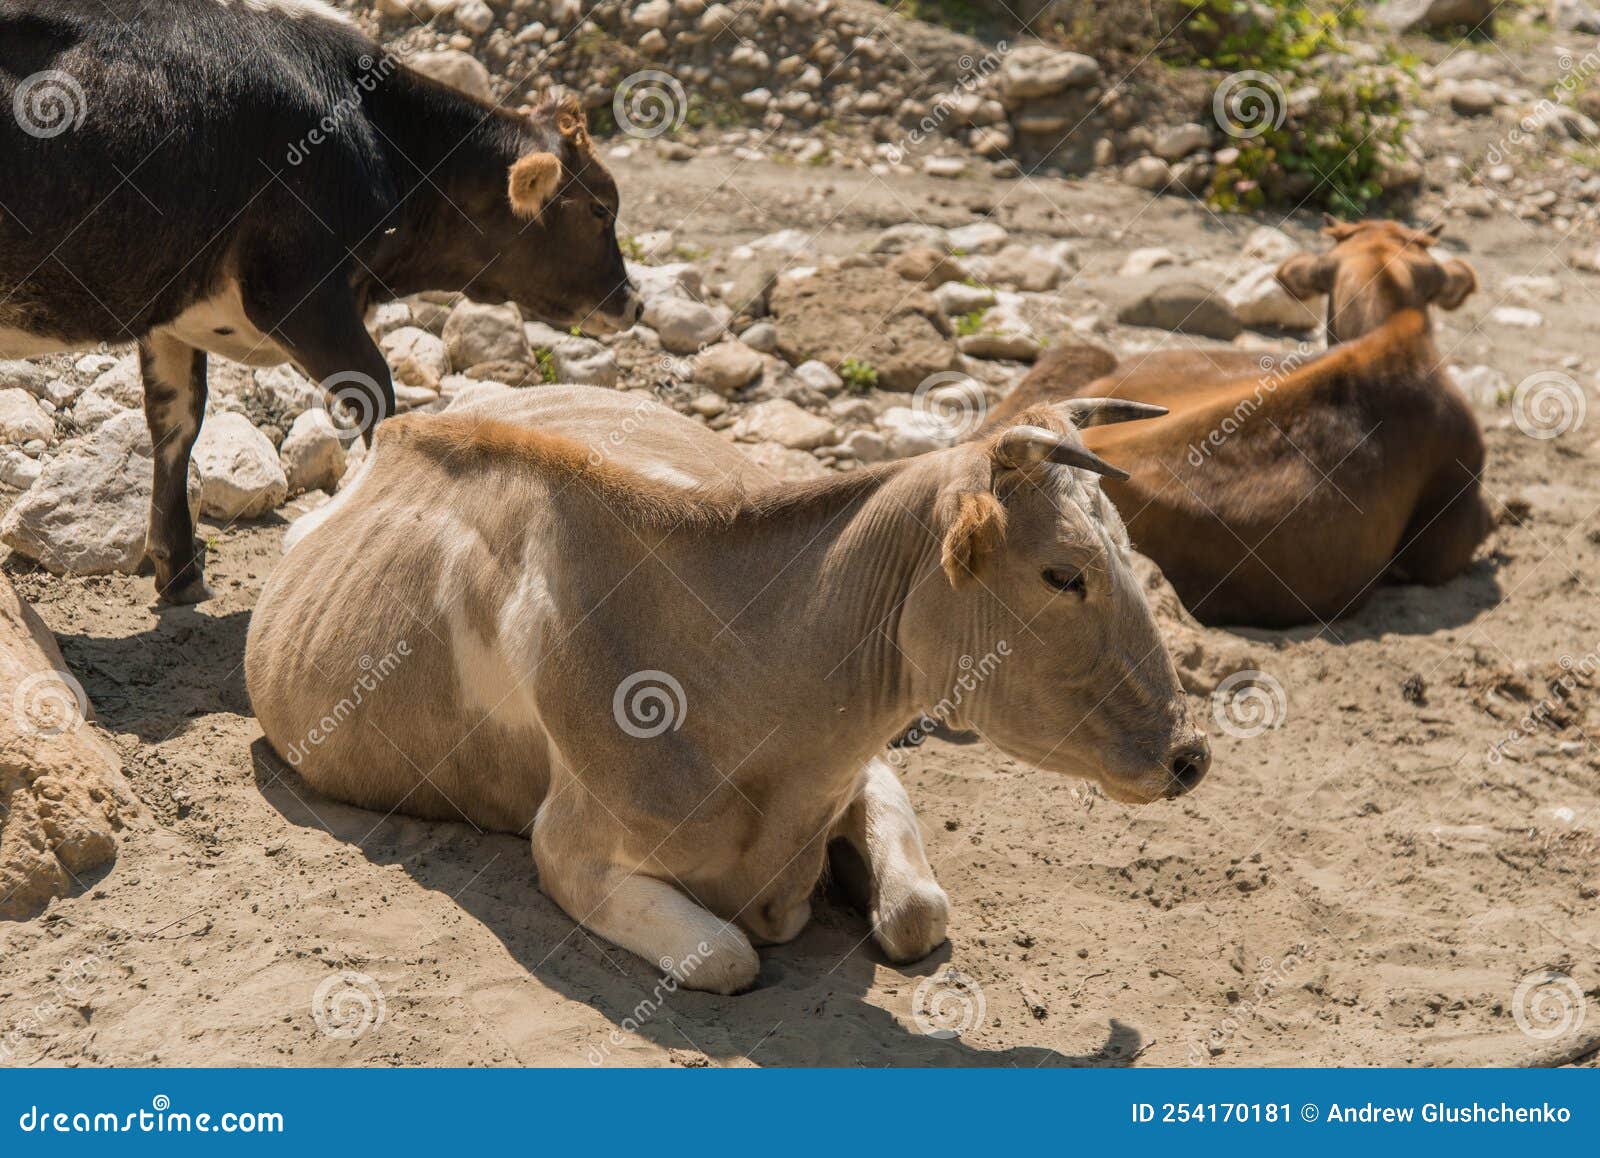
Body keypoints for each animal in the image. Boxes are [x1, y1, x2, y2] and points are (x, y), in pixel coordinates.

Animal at [1, 0, 640, 603]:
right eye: (599, 209)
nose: (633, 304)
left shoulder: (172, 307)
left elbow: (177, 418)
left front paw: (178, 570)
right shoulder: (302, 296)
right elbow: (379, 397)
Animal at [244, 385, 1211, 993]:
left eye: (1129, 547)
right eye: (1063, 574)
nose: (1190, 754)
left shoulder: (865, 765)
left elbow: (918, 912)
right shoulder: (569, 851)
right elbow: (729, 960)